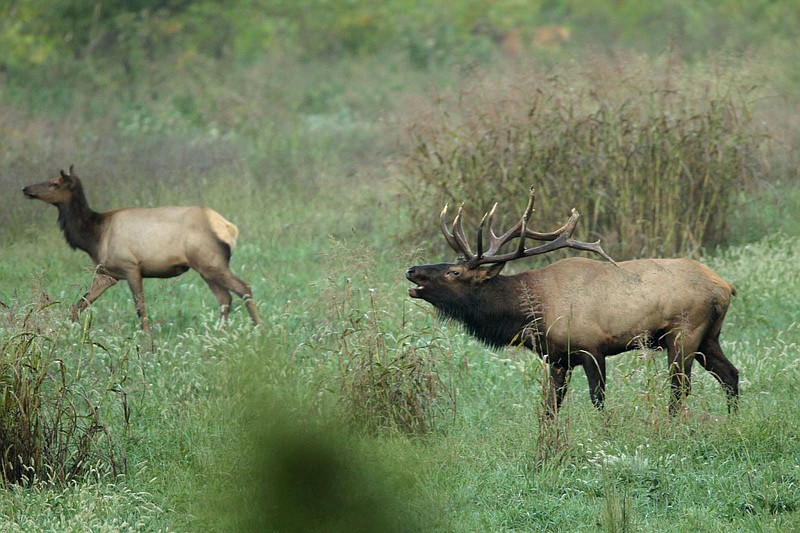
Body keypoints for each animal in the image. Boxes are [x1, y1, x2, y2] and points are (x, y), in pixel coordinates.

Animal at [22, 165, 262, 332]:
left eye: (55, 183)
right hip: (205, 268)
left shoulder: (131, 267)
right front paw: (59, 333)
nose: (26, 188)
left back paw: (260, 330)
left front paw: (147, 344)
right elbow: (78, 305)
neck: (93, 236)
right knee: (225, 298)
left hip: (211, 262)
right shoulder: (106, 274)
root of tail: (229, 228)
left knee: (244, 288)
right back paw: (219, 334)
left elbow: (141, 310)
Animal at [406, 185, 739, 416]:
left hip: (684, 333)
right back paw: (732, 421)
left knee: (680, 387)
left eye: (454, 272)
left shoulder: (591, 347)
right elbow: (550, 407)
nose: (411, 270)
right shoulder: (557, 359)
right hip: (709, 336)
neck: (533, 315)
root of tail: (726, 286)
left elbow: (598, 400)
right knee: (730, 375)